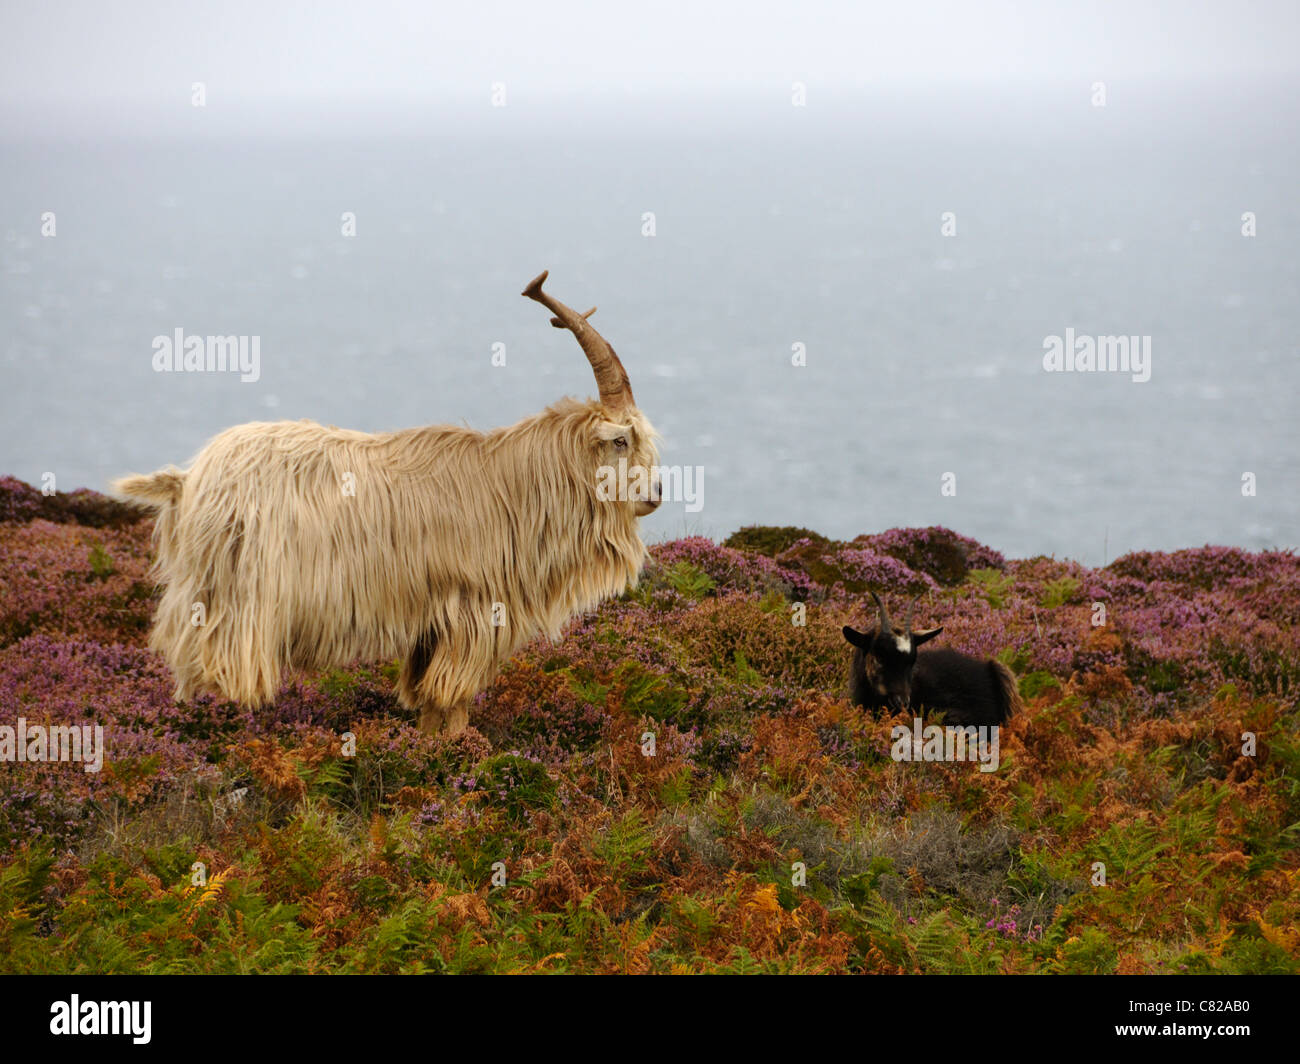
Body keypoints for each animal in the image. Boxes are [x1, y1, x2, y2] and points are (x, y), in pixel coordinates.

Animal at [114, 271, 660, 735]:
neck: (512, 486)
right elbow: (454, 700)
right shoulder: (471, 613)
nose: (655, 495)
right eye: (621, 441)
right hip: (231, 601)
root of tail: (187, 478)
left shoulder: (430, 628)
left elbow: (429, 701)